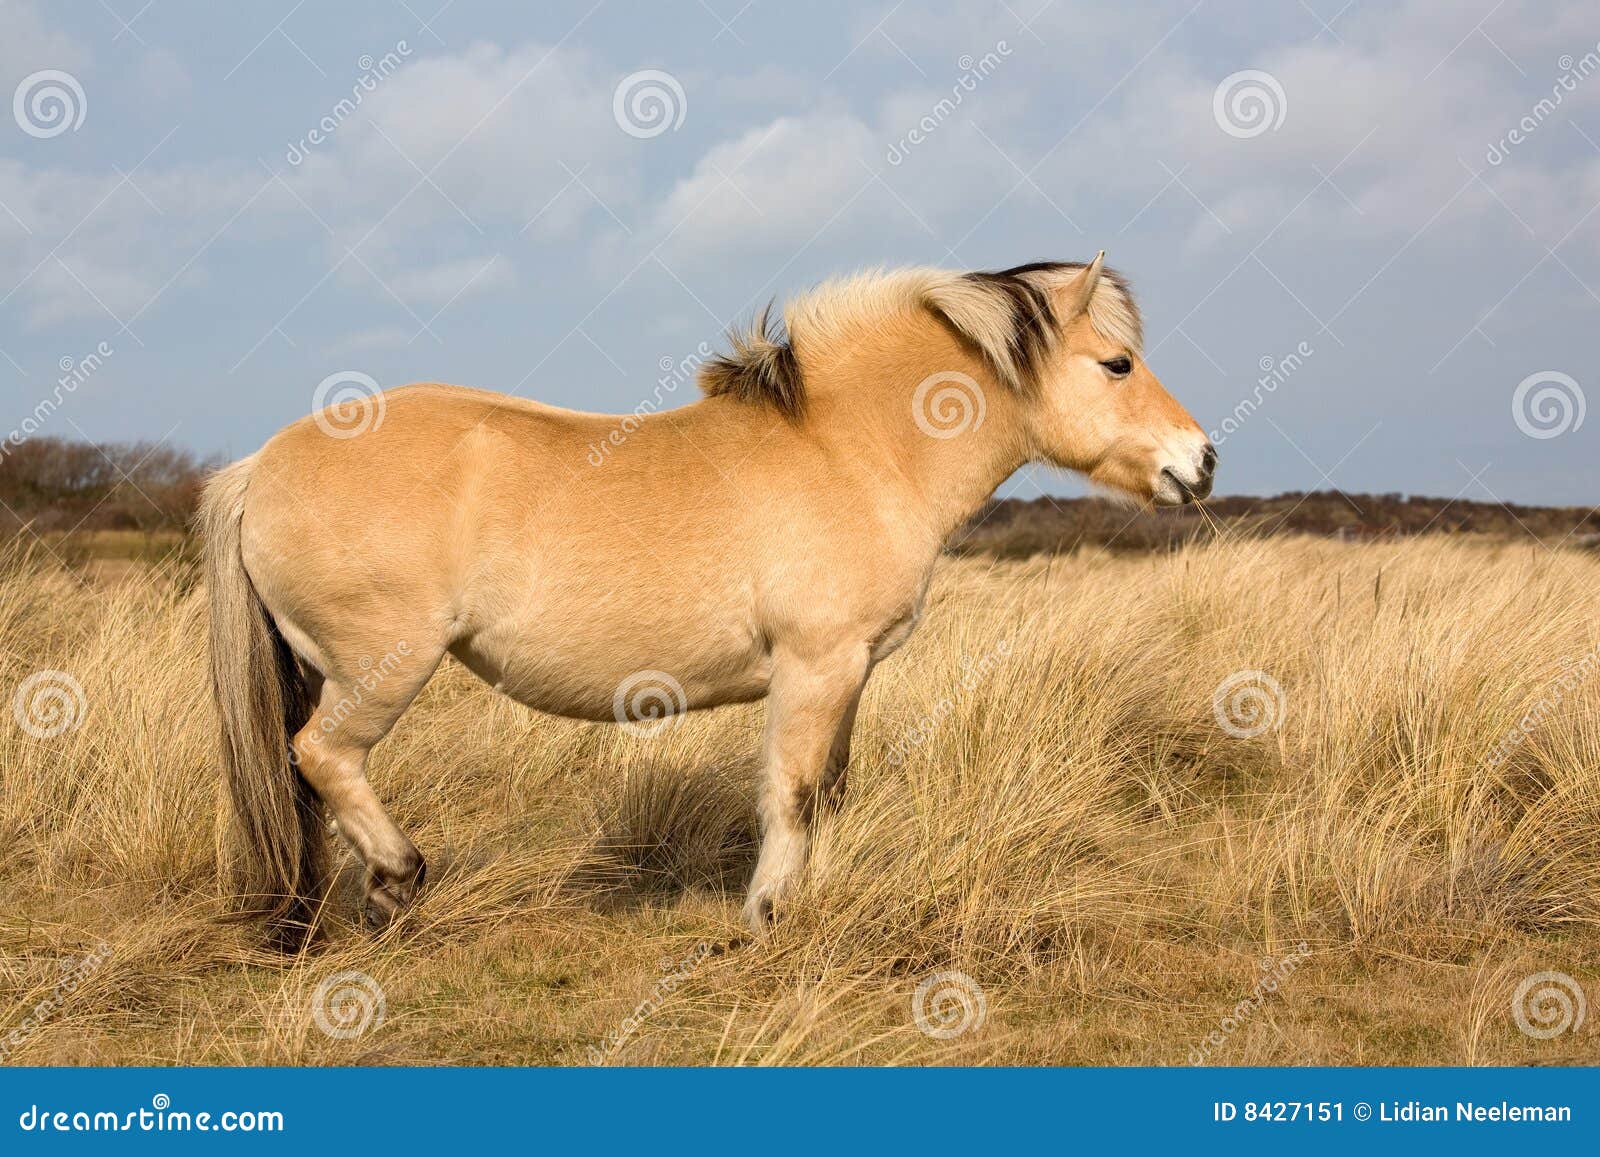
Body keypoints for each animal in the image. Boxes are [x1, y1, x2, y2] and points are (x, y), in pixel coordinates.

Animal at [201, 253, 1216, 944]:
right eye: (1118, 364)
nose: (1200, 461)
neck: (851, 448)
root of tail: (263, 465)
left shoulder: (849, 675)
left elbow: (829, 791)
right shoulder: (815, 667)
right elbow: (793, 792)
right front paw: (767, 912)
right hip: (381, 670)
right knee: (321, 757)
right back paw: (397, 878)